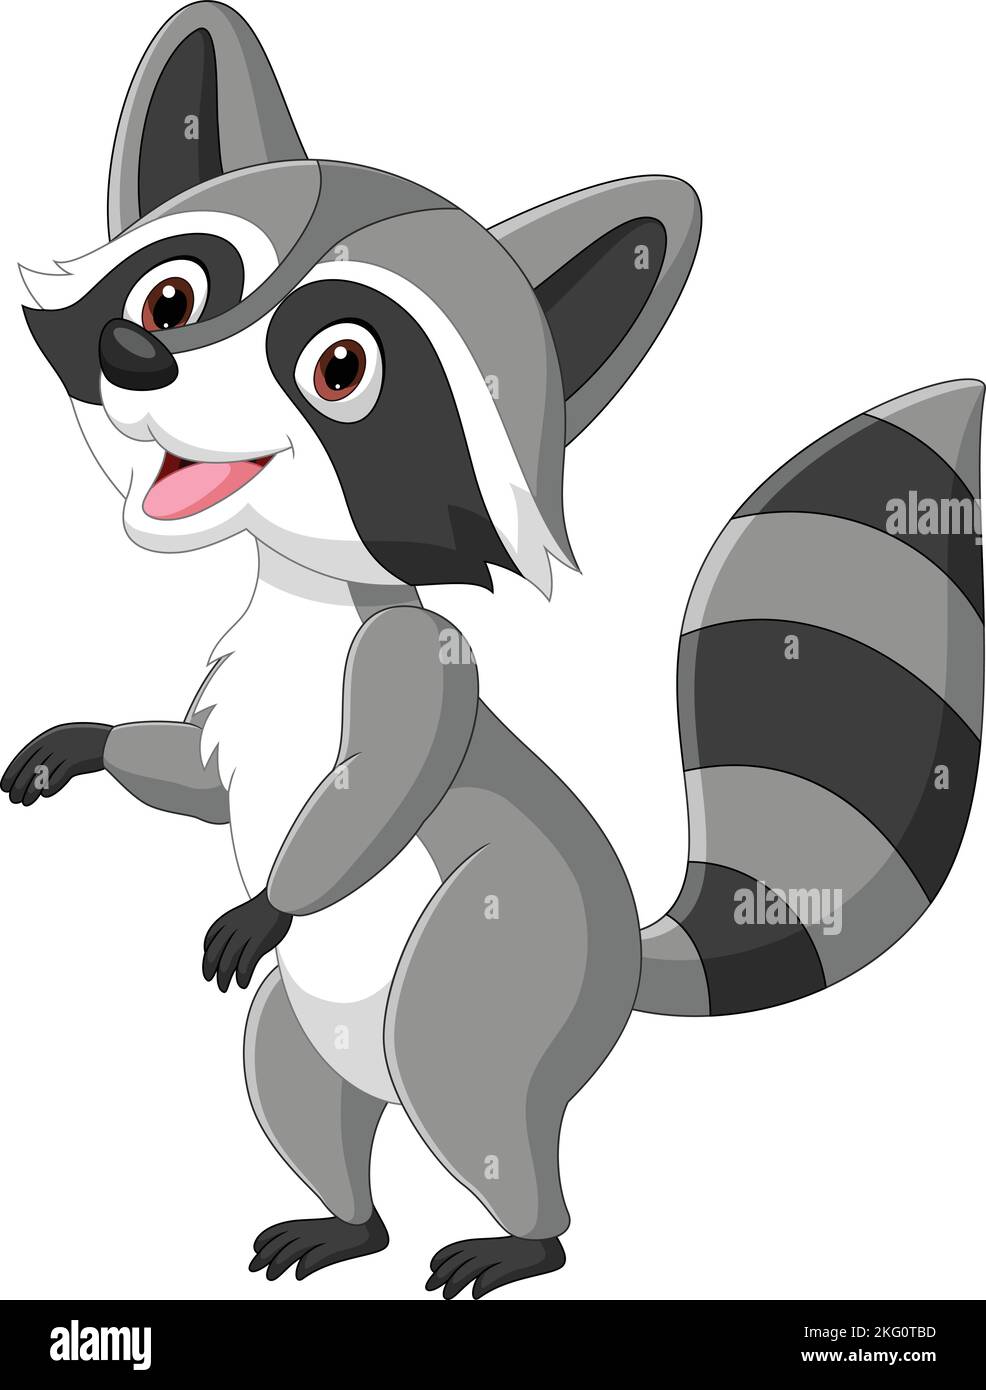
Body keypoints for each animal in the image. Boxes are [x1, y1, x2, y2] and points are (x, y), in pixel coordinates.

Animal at [4, 2, 982, 1299]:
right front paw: (87, 743)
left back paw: (523, 1238)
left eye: (341, 369)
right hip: (320, 1028)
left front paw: (272, 896)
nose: (138, 356)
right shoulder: (232, 677)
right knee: (291, 1082)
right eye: (171, 295)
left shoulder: (414, 664)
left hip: (499, 953)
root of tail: (620, 951)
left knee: (461, 1083)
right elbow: (197, 774)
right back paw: (345, 1221)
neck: (308, 594)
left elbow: (374, 793)